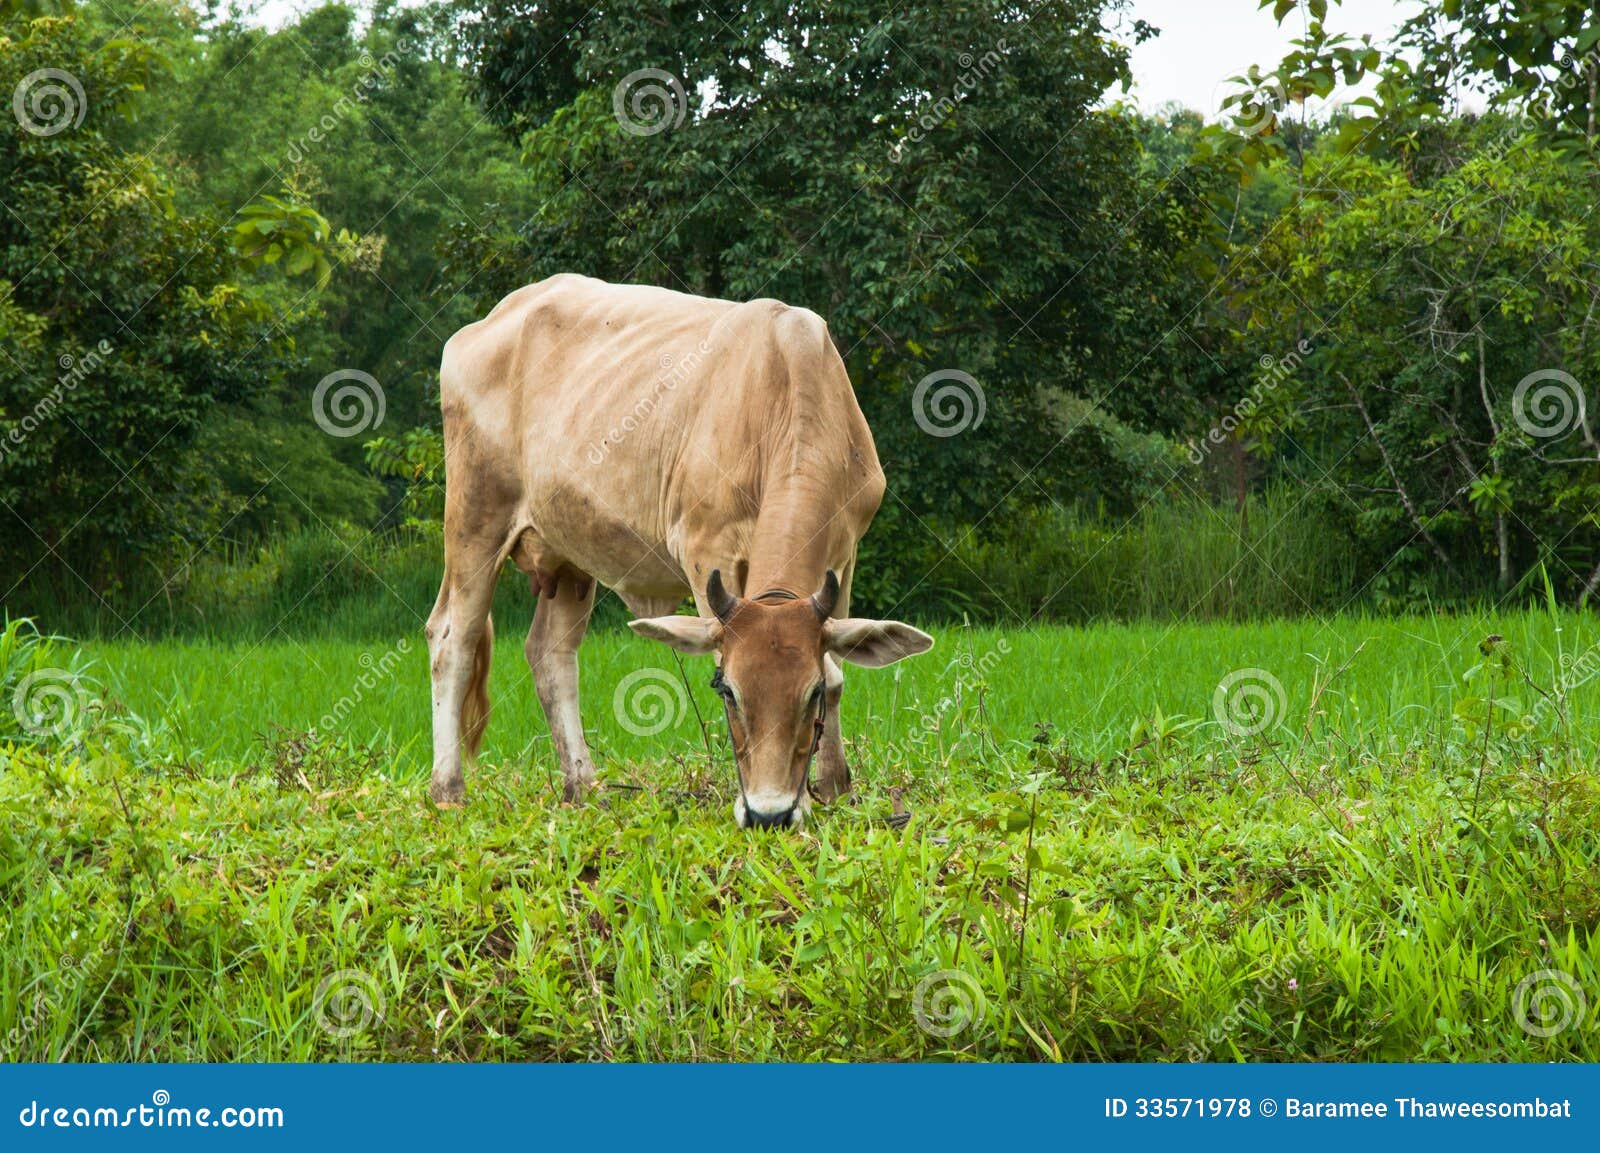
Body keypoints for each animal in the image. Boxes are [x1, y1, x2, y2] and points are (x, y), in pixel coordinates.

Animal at [426, 274, 932, 828]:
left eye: (811, 692)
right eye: (727, 691)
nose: (768, 814)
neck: (783, 393)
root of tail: (487, 322)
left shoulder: (845, 554)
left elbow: (841, 671)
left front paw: (835, 787)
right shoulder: (705, 549)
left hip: (570, 556)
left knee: (550, 653)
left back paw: (584, 786)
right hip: (476, 520)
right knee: (452, 638)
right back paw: (448, 789)